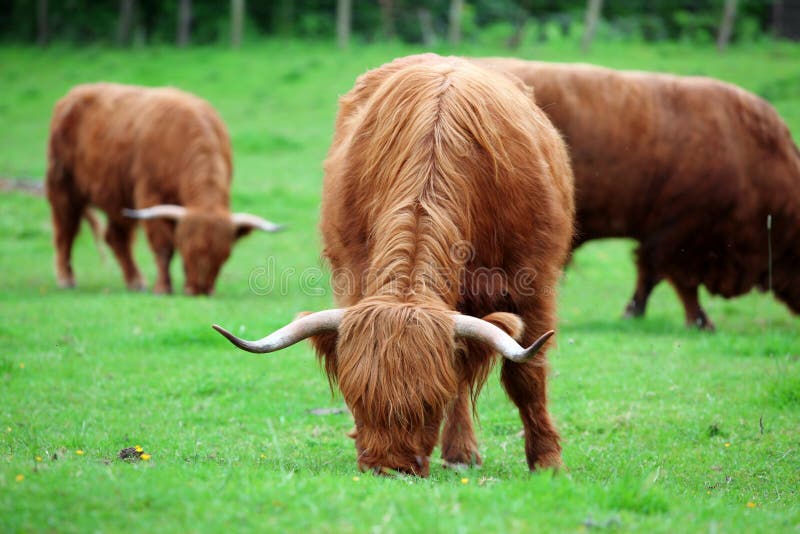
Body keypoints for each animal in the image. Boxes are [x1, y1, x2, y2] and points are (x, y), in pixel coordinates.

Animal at [46, 83, 282, 296]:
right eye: (186, 248)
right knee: (66, 231)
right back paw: (66, 278)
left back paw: (135, 281)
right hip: (63, 186)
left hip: (117, 197)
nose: (199, 290)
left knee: (116, 237)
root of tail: (73, 94)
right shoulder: (151, 196)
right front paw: (162, 287)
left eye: (224, 256)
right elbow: (163, 247)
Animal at [213, 54, 575, 476]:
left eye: (429, 404)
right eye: (355, 397)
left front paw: (548, 462)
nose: (388, 468)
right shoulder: (354, 277)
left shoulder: (533, 287)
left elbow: (526, 377)